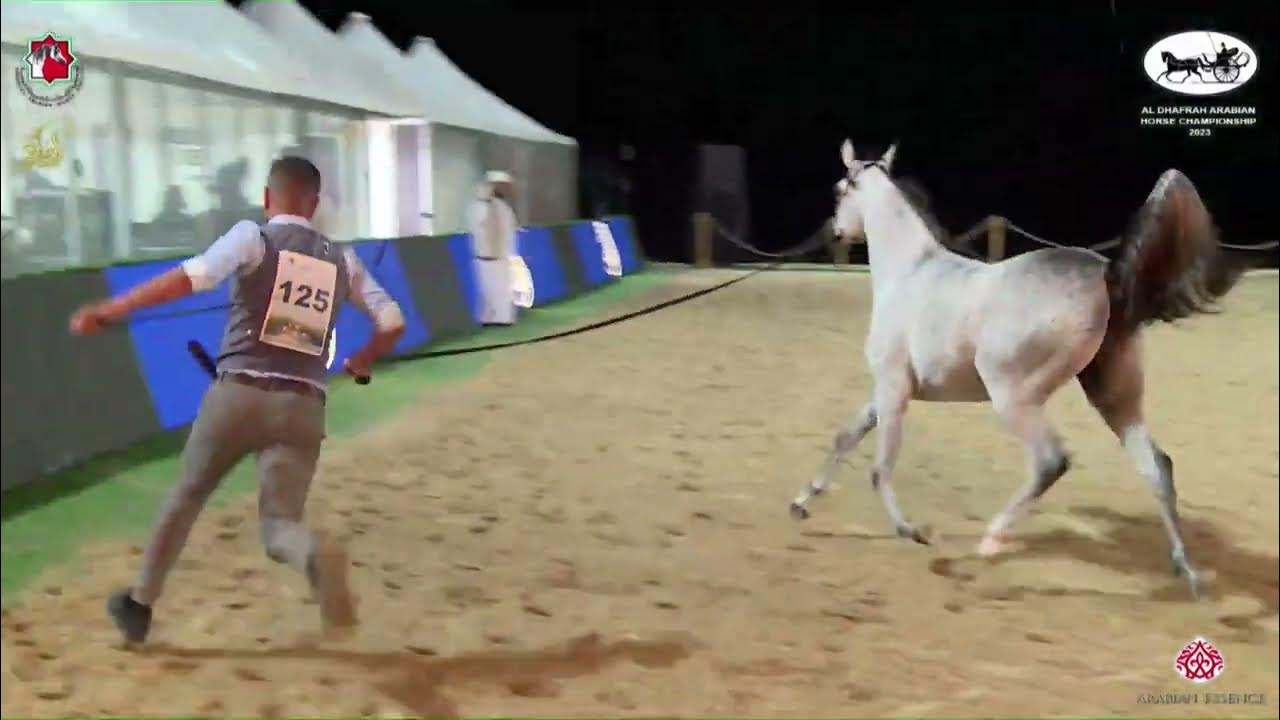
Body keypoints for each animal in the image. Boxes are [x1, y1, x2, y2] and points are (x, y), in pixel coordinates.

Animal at [788, 139, 1242, 598]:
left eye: (839, 190)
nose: (835, 233)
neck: (911, 274)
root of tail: (1107, 276)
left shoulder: (893, 388)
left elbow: (879, 467)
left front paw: (910, 531)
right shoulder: (886, 390)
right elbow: (847, 437)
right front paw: (801, 503)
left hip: (1013, 397)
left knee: (1051, 461)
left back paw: (991, 540)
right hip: (1114, 395)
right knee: (1157, 467)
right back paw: (1188, 572)